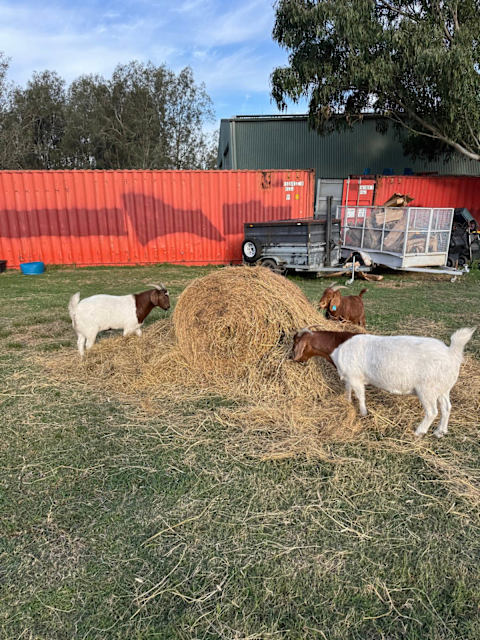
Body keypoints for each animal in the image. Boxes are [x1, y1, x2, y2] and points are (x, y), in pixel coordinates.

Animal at [293, 327, 475, 438]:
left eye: (295, 343)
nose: (292, 357)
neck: (337, 347)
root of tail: (451, 353)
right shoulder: (349, 376)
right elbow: (348, 390)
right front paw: (347, 402)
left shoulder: (356, 377)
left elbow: (360, 396)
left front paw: (363, 413)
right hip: (443, 388)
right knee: (446, 407)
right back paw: (440, 431)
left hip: (427, 390)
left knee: (432, 412)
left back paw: (419, 432)